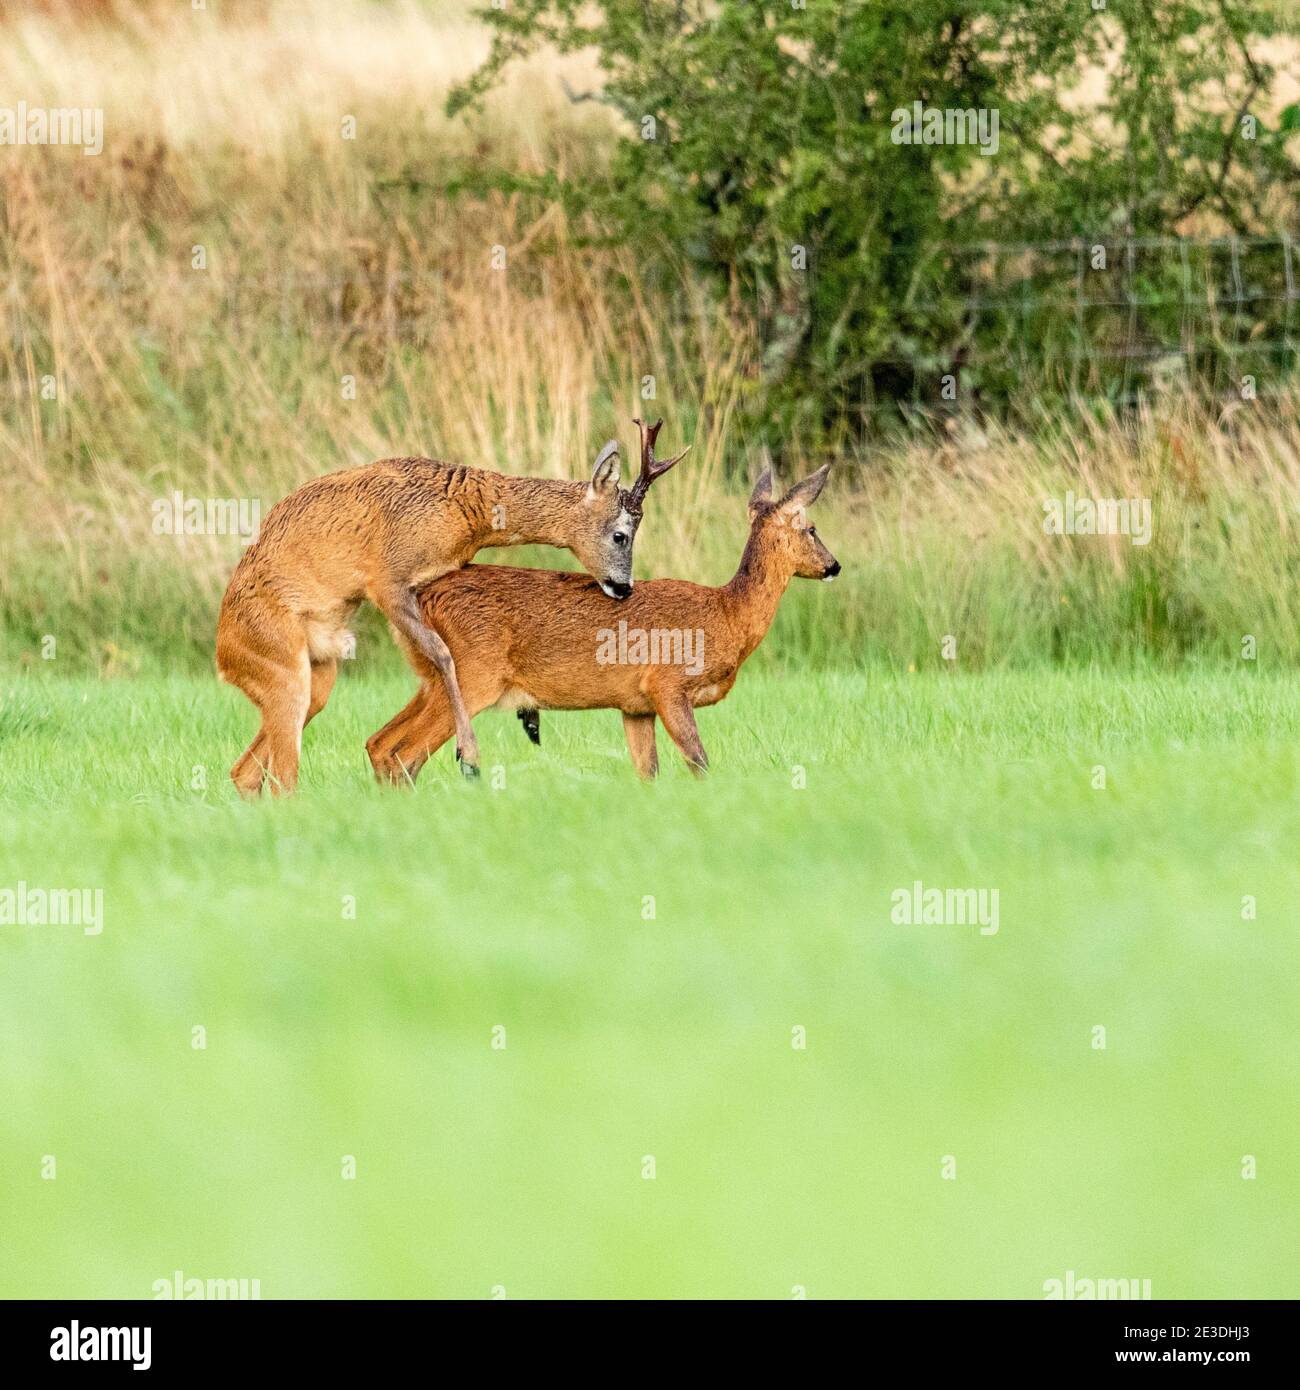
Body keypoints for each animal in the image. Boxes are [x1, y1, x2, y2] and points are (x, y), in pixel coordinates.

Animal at [216, 424, 688, 795]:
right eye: (621, 534)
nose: (623, 588)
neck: (464, 510)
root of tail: (222, 656)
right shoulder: (388, 579)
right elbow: (444, 655)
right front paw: (471, 755)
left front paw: (523, 720)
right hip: (283, 669)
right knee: (282, 777)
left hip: (318, 678)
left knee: (246, 772)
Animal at [364, 444, 839, 783]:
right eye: (812, 528)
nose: (833, 566)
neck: (727, 614)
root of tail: (423, 595)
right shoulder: (668, 684)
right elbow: (699, 762)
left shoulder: (635, 706)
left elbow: (648, 772)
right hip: (474, 673)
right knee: (404, 752)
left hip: (430, 679)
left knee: (378, 743)